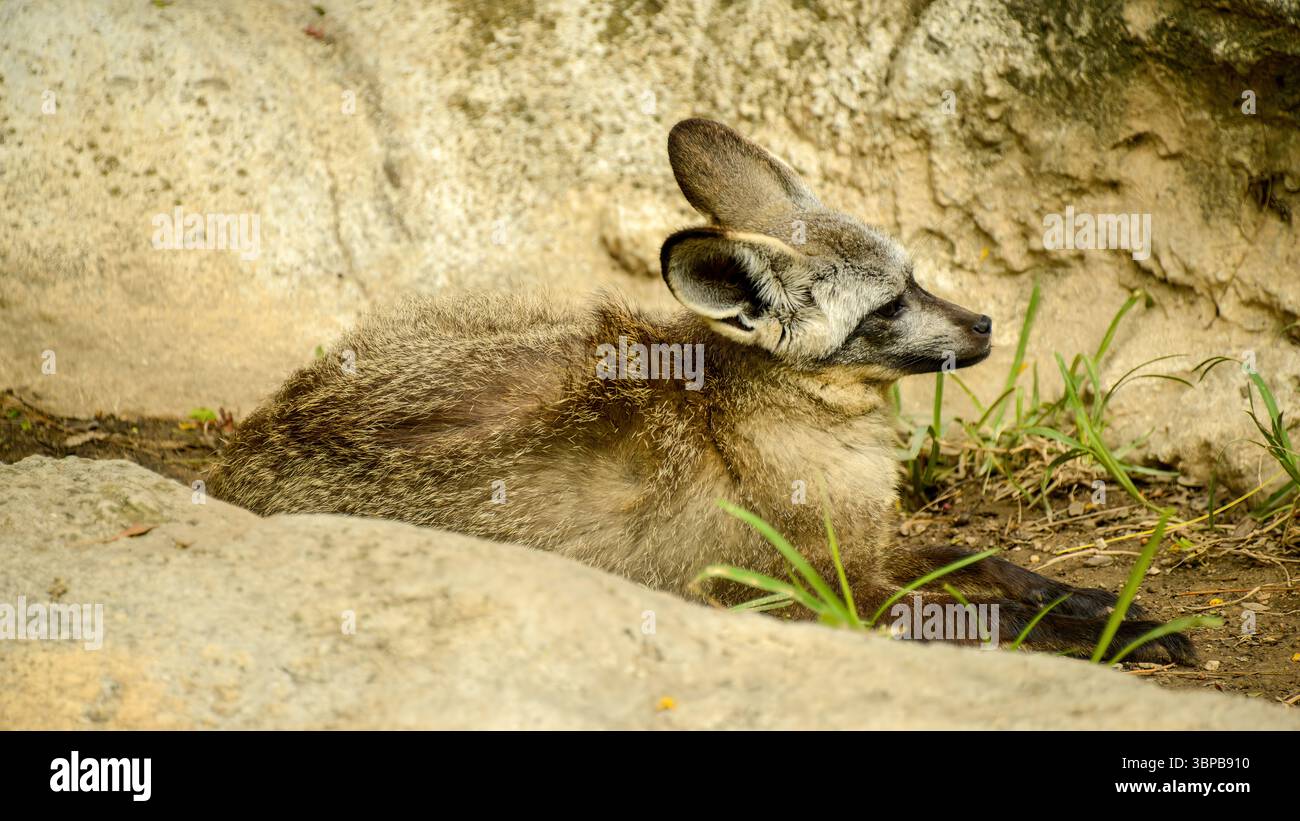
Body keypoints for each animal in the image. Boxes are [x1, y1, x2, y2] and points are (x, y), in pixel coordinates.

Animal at [209, 118, 1193, 663]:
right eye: (886, 308)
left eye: (915, 278)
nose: (986, 326)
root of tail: (241, 453)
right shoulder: (834, 591)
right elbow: (988, 611)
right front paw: (1115, 638)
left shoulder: (873, 547)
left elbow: (990, 561)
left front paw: (1101, 605)